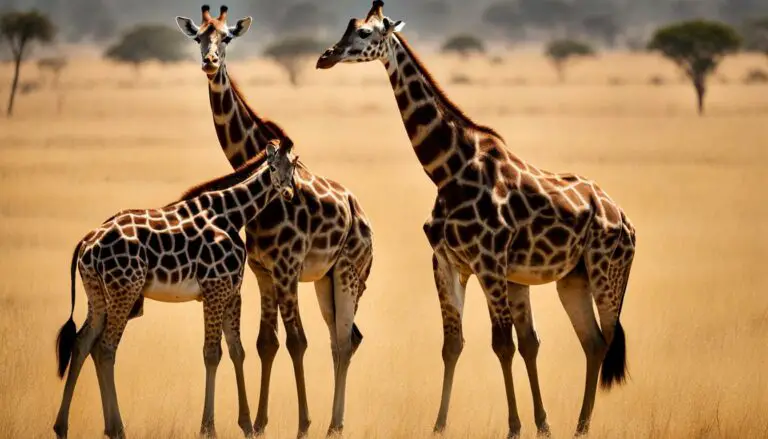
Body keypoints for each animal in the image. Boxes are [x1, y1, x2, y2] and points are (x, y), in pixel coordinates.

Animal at [53, 140, 298, 439]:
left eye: (293, 166)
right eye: (272, 167)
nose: (288, 192)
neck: (233, 214)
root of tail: (86, 243)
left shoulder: (231, 292)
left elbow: (237, 351)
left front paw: (247, 426)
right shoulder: (215, 287)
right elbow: (212, 354)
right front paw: (208, 428)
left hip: (97, 295)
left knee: (82, 343)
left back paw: (64, 427)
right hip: (125, 289)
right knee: (106, 348)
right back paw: (117, 428)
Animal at [175, 5, 374, 436]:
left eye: (227, 37)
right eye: (198, 37)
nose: (209, 63)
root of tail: (363, 217)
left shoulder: (286, 268)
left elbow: (297, 341)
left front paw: (302, 424)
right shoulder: (263, 271)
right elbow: (267, 342)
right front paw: (261, 422)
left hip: (349, 272)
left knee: (345, 340)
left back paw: (334, 424)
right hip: (325, 281)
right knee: (343, 339)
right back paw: (334, 422)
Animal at [317, 2, 636, 437]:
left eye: (365, 33)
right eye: (347, 27)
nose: (326, 57)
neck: (447, 169)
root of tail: (625, 220)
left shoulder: (490, 261)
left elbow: (502, 343)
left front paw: (515, 426)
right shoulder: (447, 261)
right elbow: (453, 344)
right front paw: (439, 426)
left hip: (608, 273)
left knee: (603, 340)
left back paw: (580, 426)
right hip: (573, 279)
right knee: (593, 341)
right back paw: (577, 426)